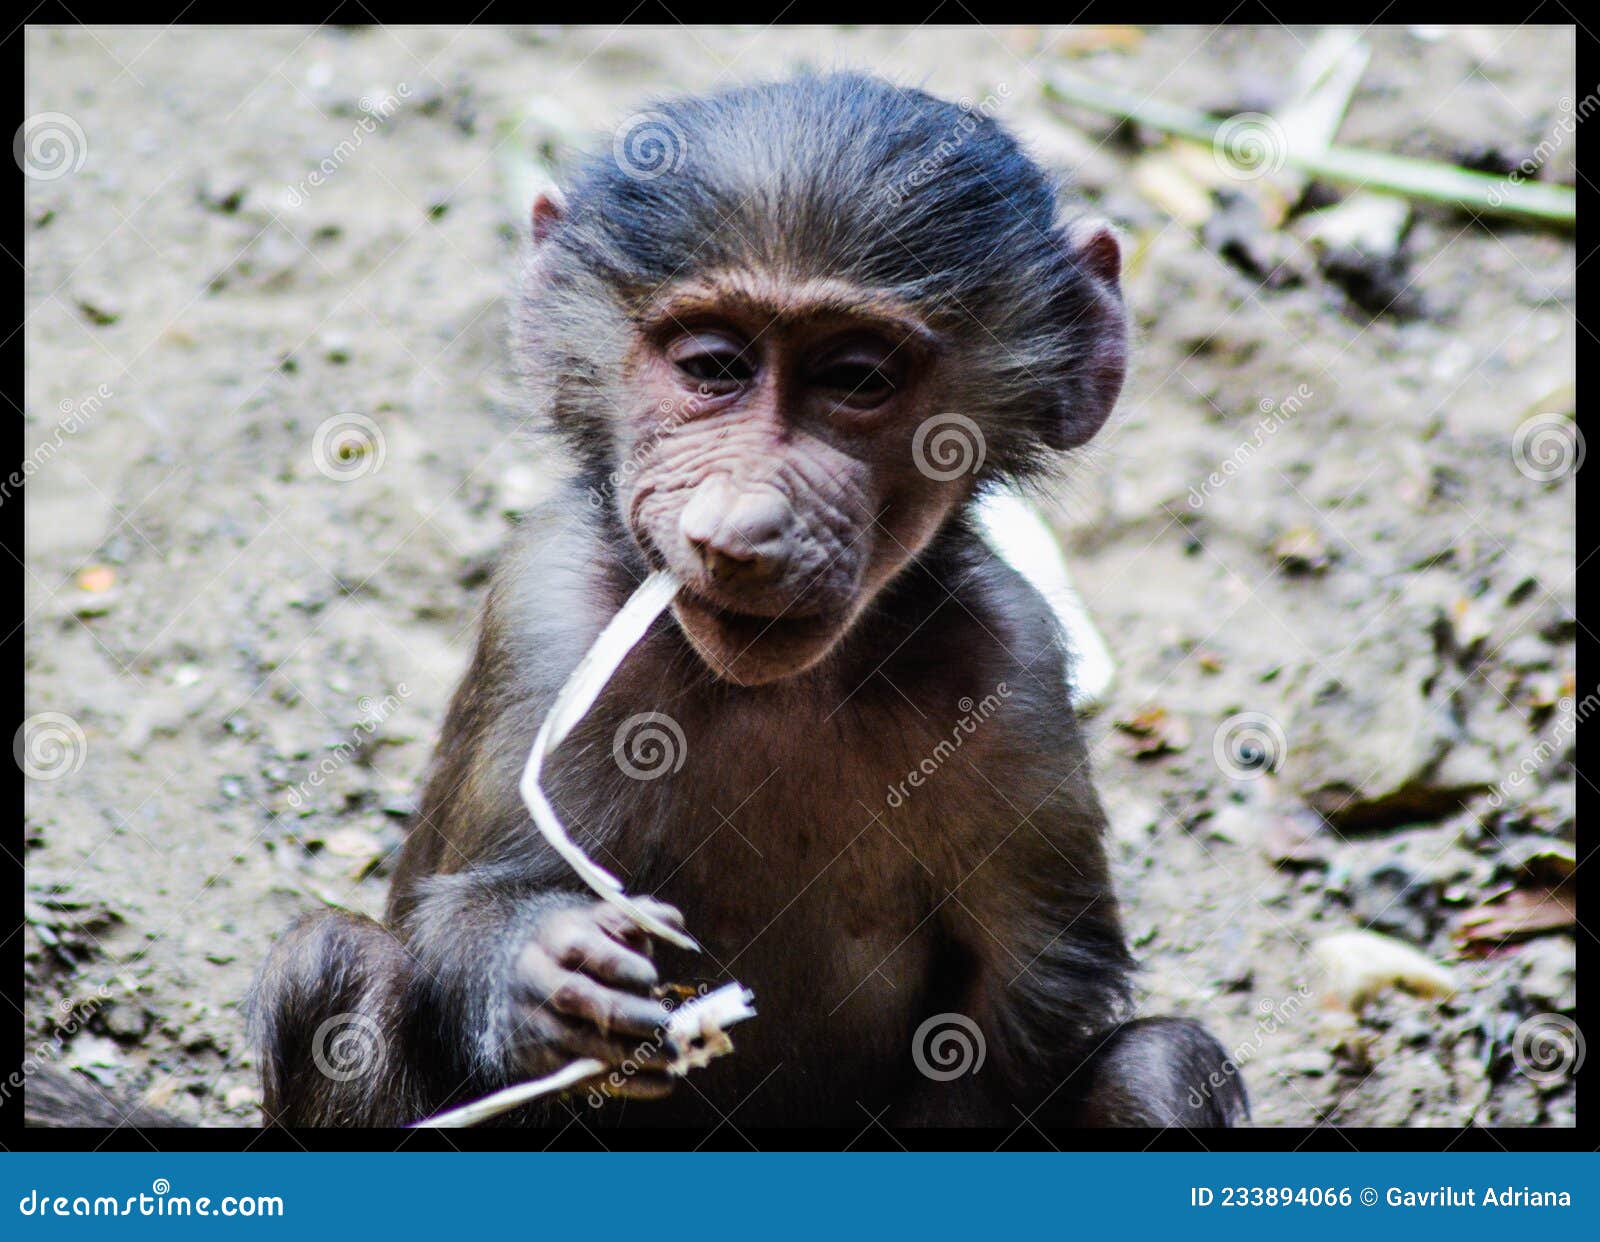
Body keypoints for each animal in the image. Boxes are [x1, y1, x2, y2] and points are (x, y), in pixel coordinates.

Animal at [252, 71, 1247, 1132]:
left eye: (857, 379)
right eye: (713, 368)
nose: (741, 529)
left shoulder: (1012, 673)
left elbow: (1030, 1005)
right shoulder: (546, 616)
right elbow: (441, 913)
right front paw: (541, 967)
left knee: (1164, 1071)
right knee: (332, 969)